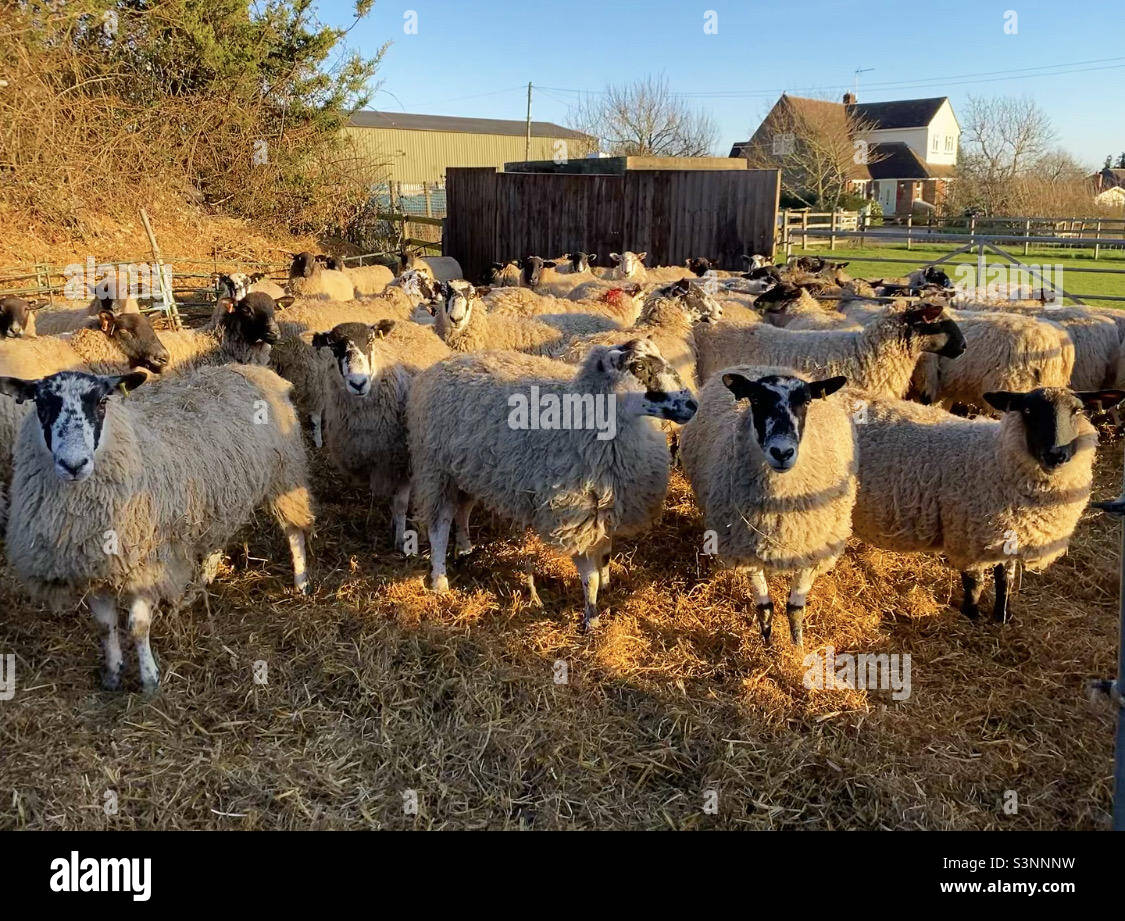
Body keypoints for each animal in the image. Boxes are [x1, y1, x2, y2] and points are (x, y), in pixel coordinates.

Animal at [1, 364, 314, 691]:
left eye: (101, 402)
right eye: (42, 405)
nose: (73, 464)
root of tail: (255, 369)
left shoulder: (148, 564)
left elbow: (138, 628)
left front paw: (150, 680)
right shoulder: (94, 565)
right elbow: (105, 626)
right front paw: (112, 674)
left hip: (285, 474)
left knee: (295, 532)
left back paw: (301, 583)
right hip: (219, 498)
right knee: (216, 540)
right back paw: (200, 584)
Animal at [310, 320, 450, 552]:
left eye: (370, 340)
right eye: (334, 347)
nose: (358, 383)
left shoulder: (402, 461)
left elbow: (400, 504)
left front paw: (401, 540)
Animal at [407, 338, 697, 629]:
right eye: (638, 367)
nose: (692, 405)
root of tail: (445, 362)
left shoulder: (604, 511)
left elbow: (605, 555)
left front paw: (607, 585)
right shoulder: (574, 517)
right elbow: (589, 577)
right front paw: (592, 618)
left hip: (468, 470)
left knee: (463, 509)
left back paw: (465, 547)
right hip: (436, 470)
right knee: (440, 525)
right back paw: (439, 581)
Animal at [681, 367, 855, 645]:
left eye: (807, 401)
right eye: (755, 400)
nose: (781, 452)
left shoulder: (814, 553)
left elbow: (795, 607)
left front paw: (797, 645)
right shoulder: (744, 550)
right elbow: (764, 606)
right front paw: (766, 642)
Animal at [849, 387, 1123, 623]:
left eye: (1077, 411)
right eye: (1028, 411)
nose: (1055, 454)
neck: (996, 458)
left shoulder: (1010, 534)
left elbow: (1006, 579)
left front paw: (1003, 616)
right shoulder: (968, 535)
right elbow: (975, 581)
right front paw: (971, 613)